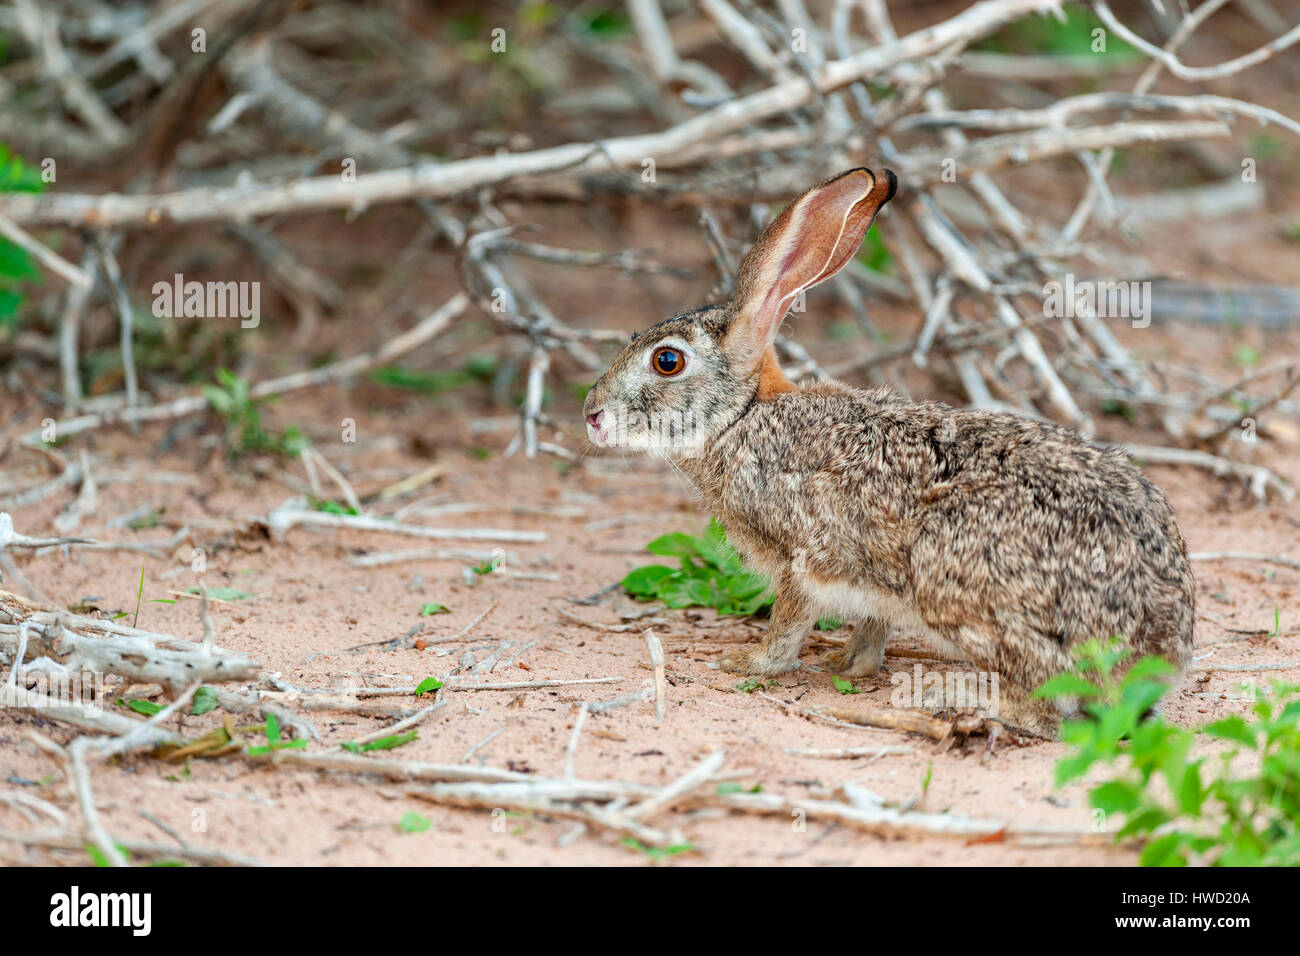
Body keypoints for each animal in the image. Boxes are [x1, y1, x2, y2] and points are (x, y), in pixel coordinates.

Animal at [582, 167, 1195, 738]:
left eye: (667, 361)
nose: (591, 414)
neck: (740, 416)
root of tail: (1157, 648)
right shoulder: (871, 587)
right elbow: (870, 629)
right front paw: (848, 665)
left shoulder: (802, 556)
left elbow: (788, 623)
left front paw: (747, 662)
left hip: (955, 587)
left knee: (1046, 711)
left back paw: (958, 699)